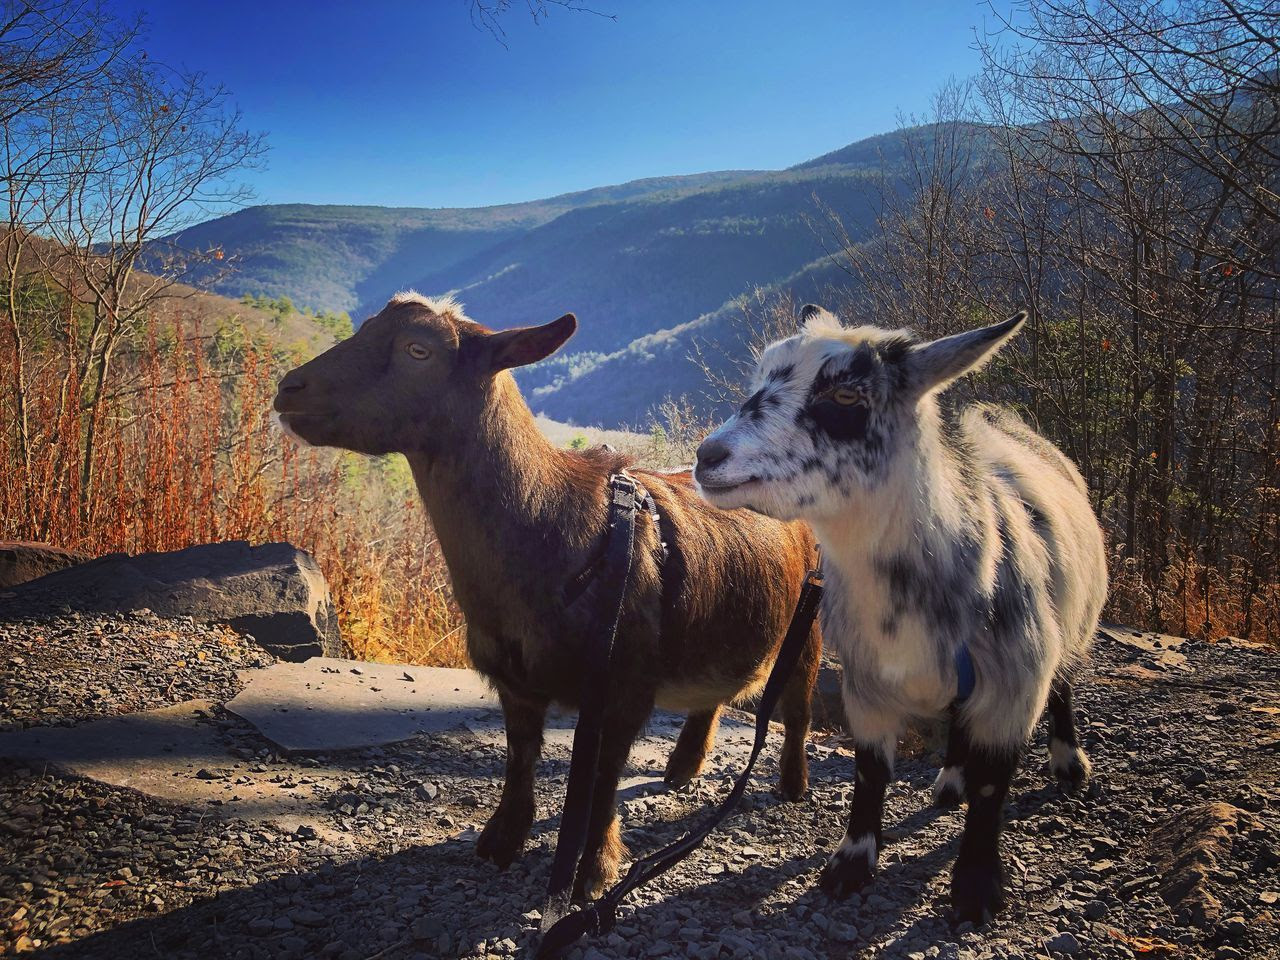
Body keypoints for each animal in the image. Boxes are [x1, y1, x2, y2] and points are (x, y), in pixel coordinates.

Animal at [273, 292, 821, 898]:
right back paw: (682, 768)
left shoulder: (625, 686)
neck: (559, 533)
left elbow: (603, 779)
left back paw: (792, 784)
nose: (288, 389)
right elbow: (520, 757)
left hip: (809, 615)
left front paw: (595, 870)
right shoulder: (515, 678)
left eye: (419, 350)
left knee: (799, 700)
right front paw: (501, 841)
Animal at [693, 306, 1107, 924]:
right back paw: (951, 780)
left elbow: (993, 786)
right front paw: (850, 864)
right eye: (758, 378)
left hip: (1065, 628)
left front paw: (976, 887)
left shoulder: (1013, 685)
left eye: (845, 395)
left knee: (1062, 684)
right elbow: (871, 772)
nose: (708, 457)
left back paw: (1067, 763)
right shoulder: (866, 684)